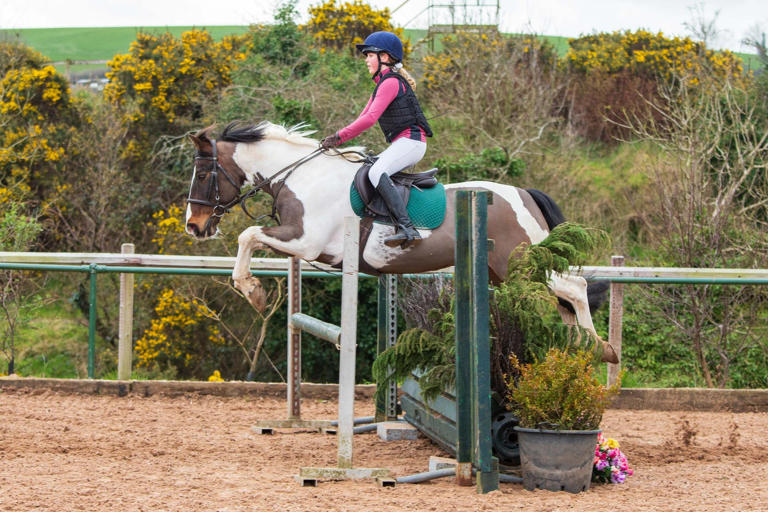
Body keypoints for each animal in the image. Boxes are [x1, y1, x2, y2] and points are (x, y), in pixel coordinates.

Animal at [184, 121, 618, 363]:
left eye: (203, 174)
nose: (194, 226)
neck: (301, 176)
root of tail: (524, 194)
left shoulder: (306, 243)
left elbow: (247, 235)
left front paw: (253, 291)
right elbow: (250, 238)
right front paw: (252, 290)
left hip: (521, 266)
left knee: (575, 287)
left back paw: (601, 348)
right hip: (504, 273)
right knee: (564, 299)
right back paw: (581, 344)